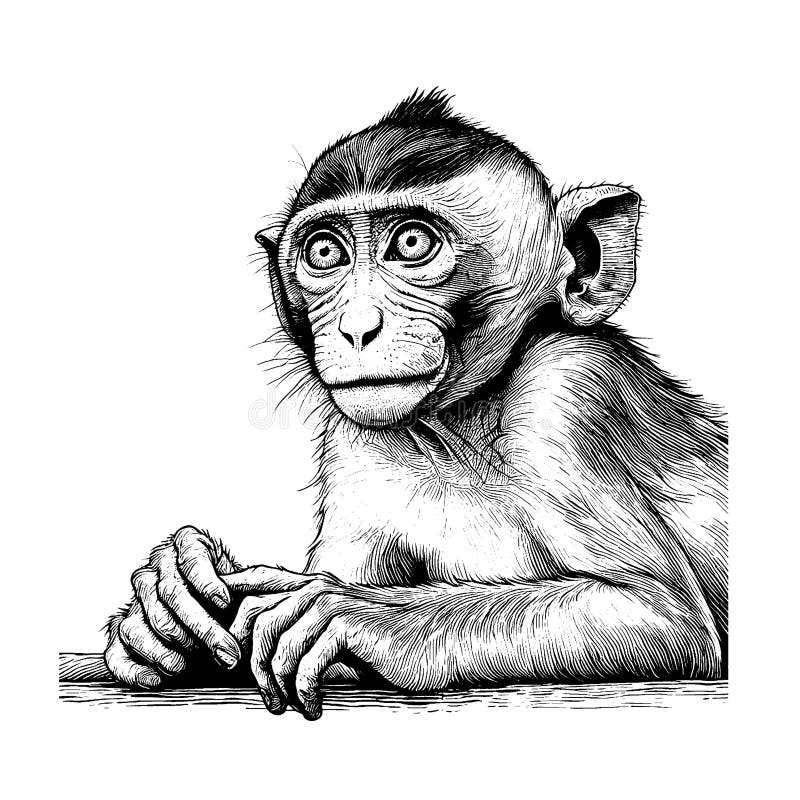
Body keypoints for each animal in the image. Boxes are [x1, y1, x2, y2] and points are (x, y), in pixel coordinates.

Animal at [104, 90, 727, 719]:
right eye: (324, 252)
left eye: (411, 243)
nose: (357, 326)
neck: (458, 432)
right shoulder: (355, 446)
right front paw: (170, 605)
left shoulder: (570, 393)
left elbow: (662, 614)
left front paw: (356, 613)